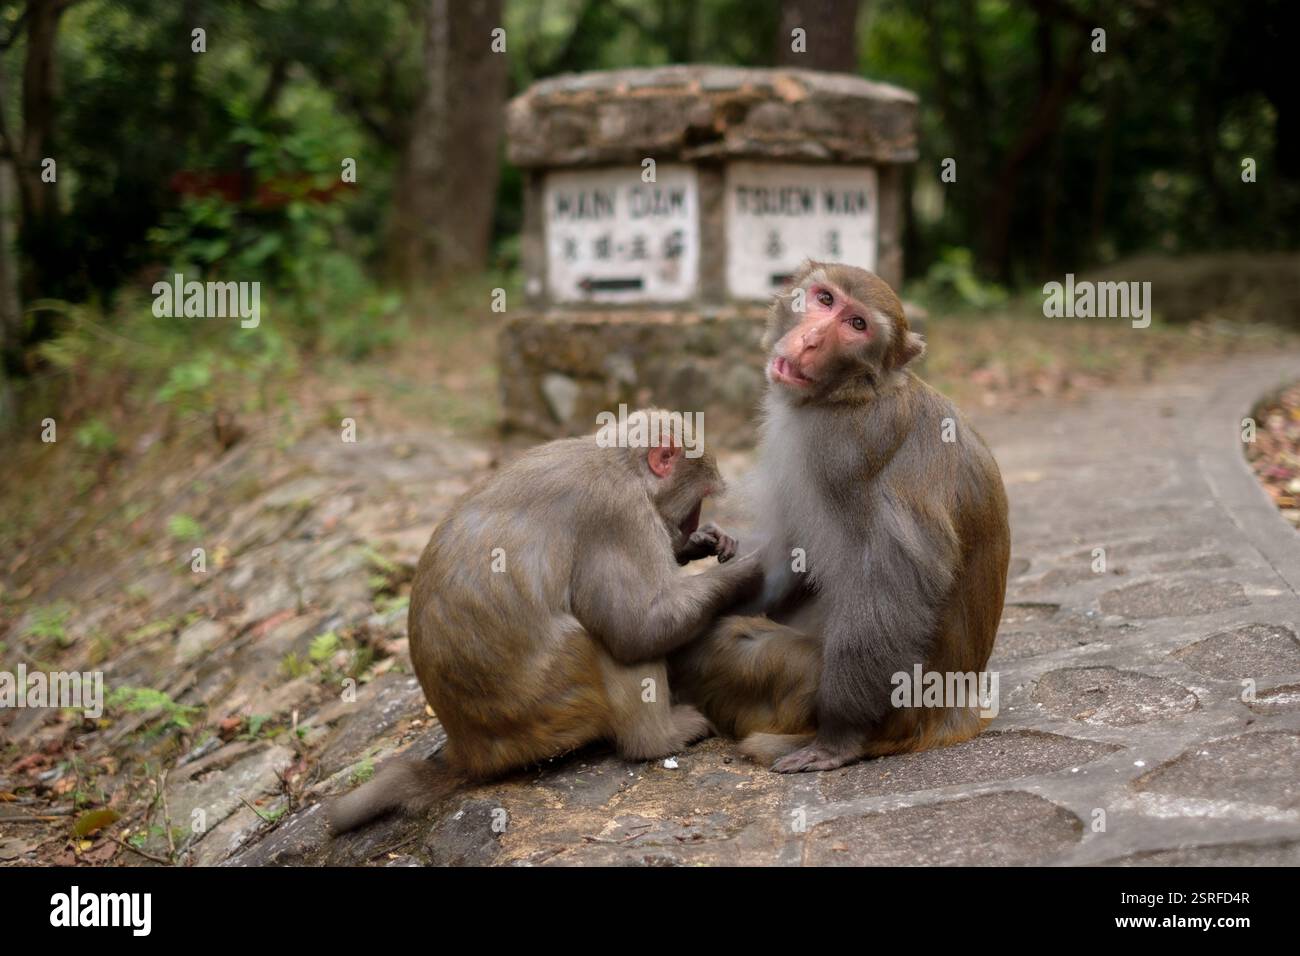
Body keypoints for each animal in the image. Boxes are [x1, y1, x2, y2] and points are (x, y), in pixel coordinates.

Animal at [327, 410, 761, 832]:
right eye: (699, 499)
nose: (690, 525)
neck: (619, 465)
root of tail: (469, 752)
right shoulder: (618, 514)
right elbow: (635, 628)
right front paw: (747, 570)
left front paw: (701, 543)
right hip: (553, 706)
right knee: (603, 640)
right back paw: (657, 740)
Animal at [669, 261, 1010, 772]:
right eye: (825, 300)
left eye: (856, 325)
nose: (811, 340)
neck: (851, 393)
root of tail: (946, 719)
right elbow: (794, 556)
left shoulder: (841, 452)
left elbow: (892, 578)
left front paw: (838, 736)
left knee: (737, 642)